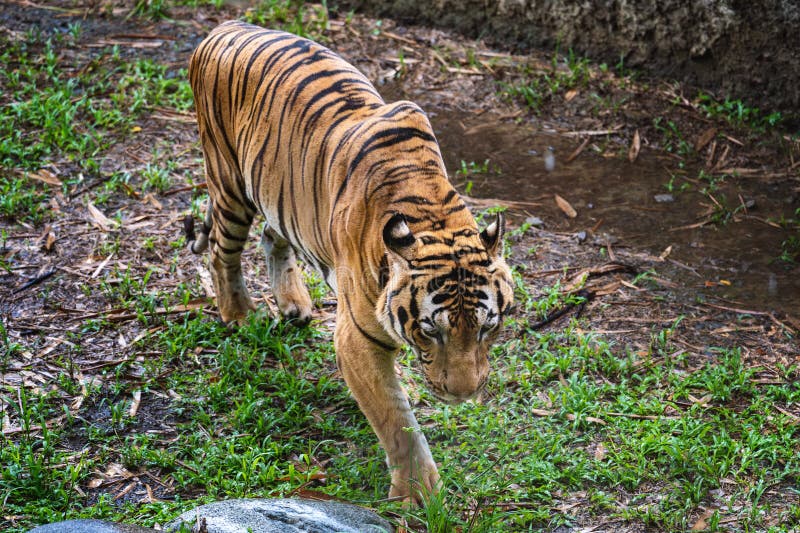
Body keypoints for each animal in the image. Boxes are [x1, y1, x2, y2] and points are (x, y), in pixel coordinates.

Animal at [185, 20, 514, 504]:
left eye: (487, 326)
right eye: (431, 330)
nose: (464, 393)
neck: (434, 214)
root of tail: (227, 26)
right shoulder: (357, 338)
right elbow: (396, 419)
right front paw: (418, 493)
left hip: (282, 196)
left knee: (272, 234)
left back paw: (294, 304)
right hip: (229, 182)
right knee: (220, 251)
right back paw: (239, 314)